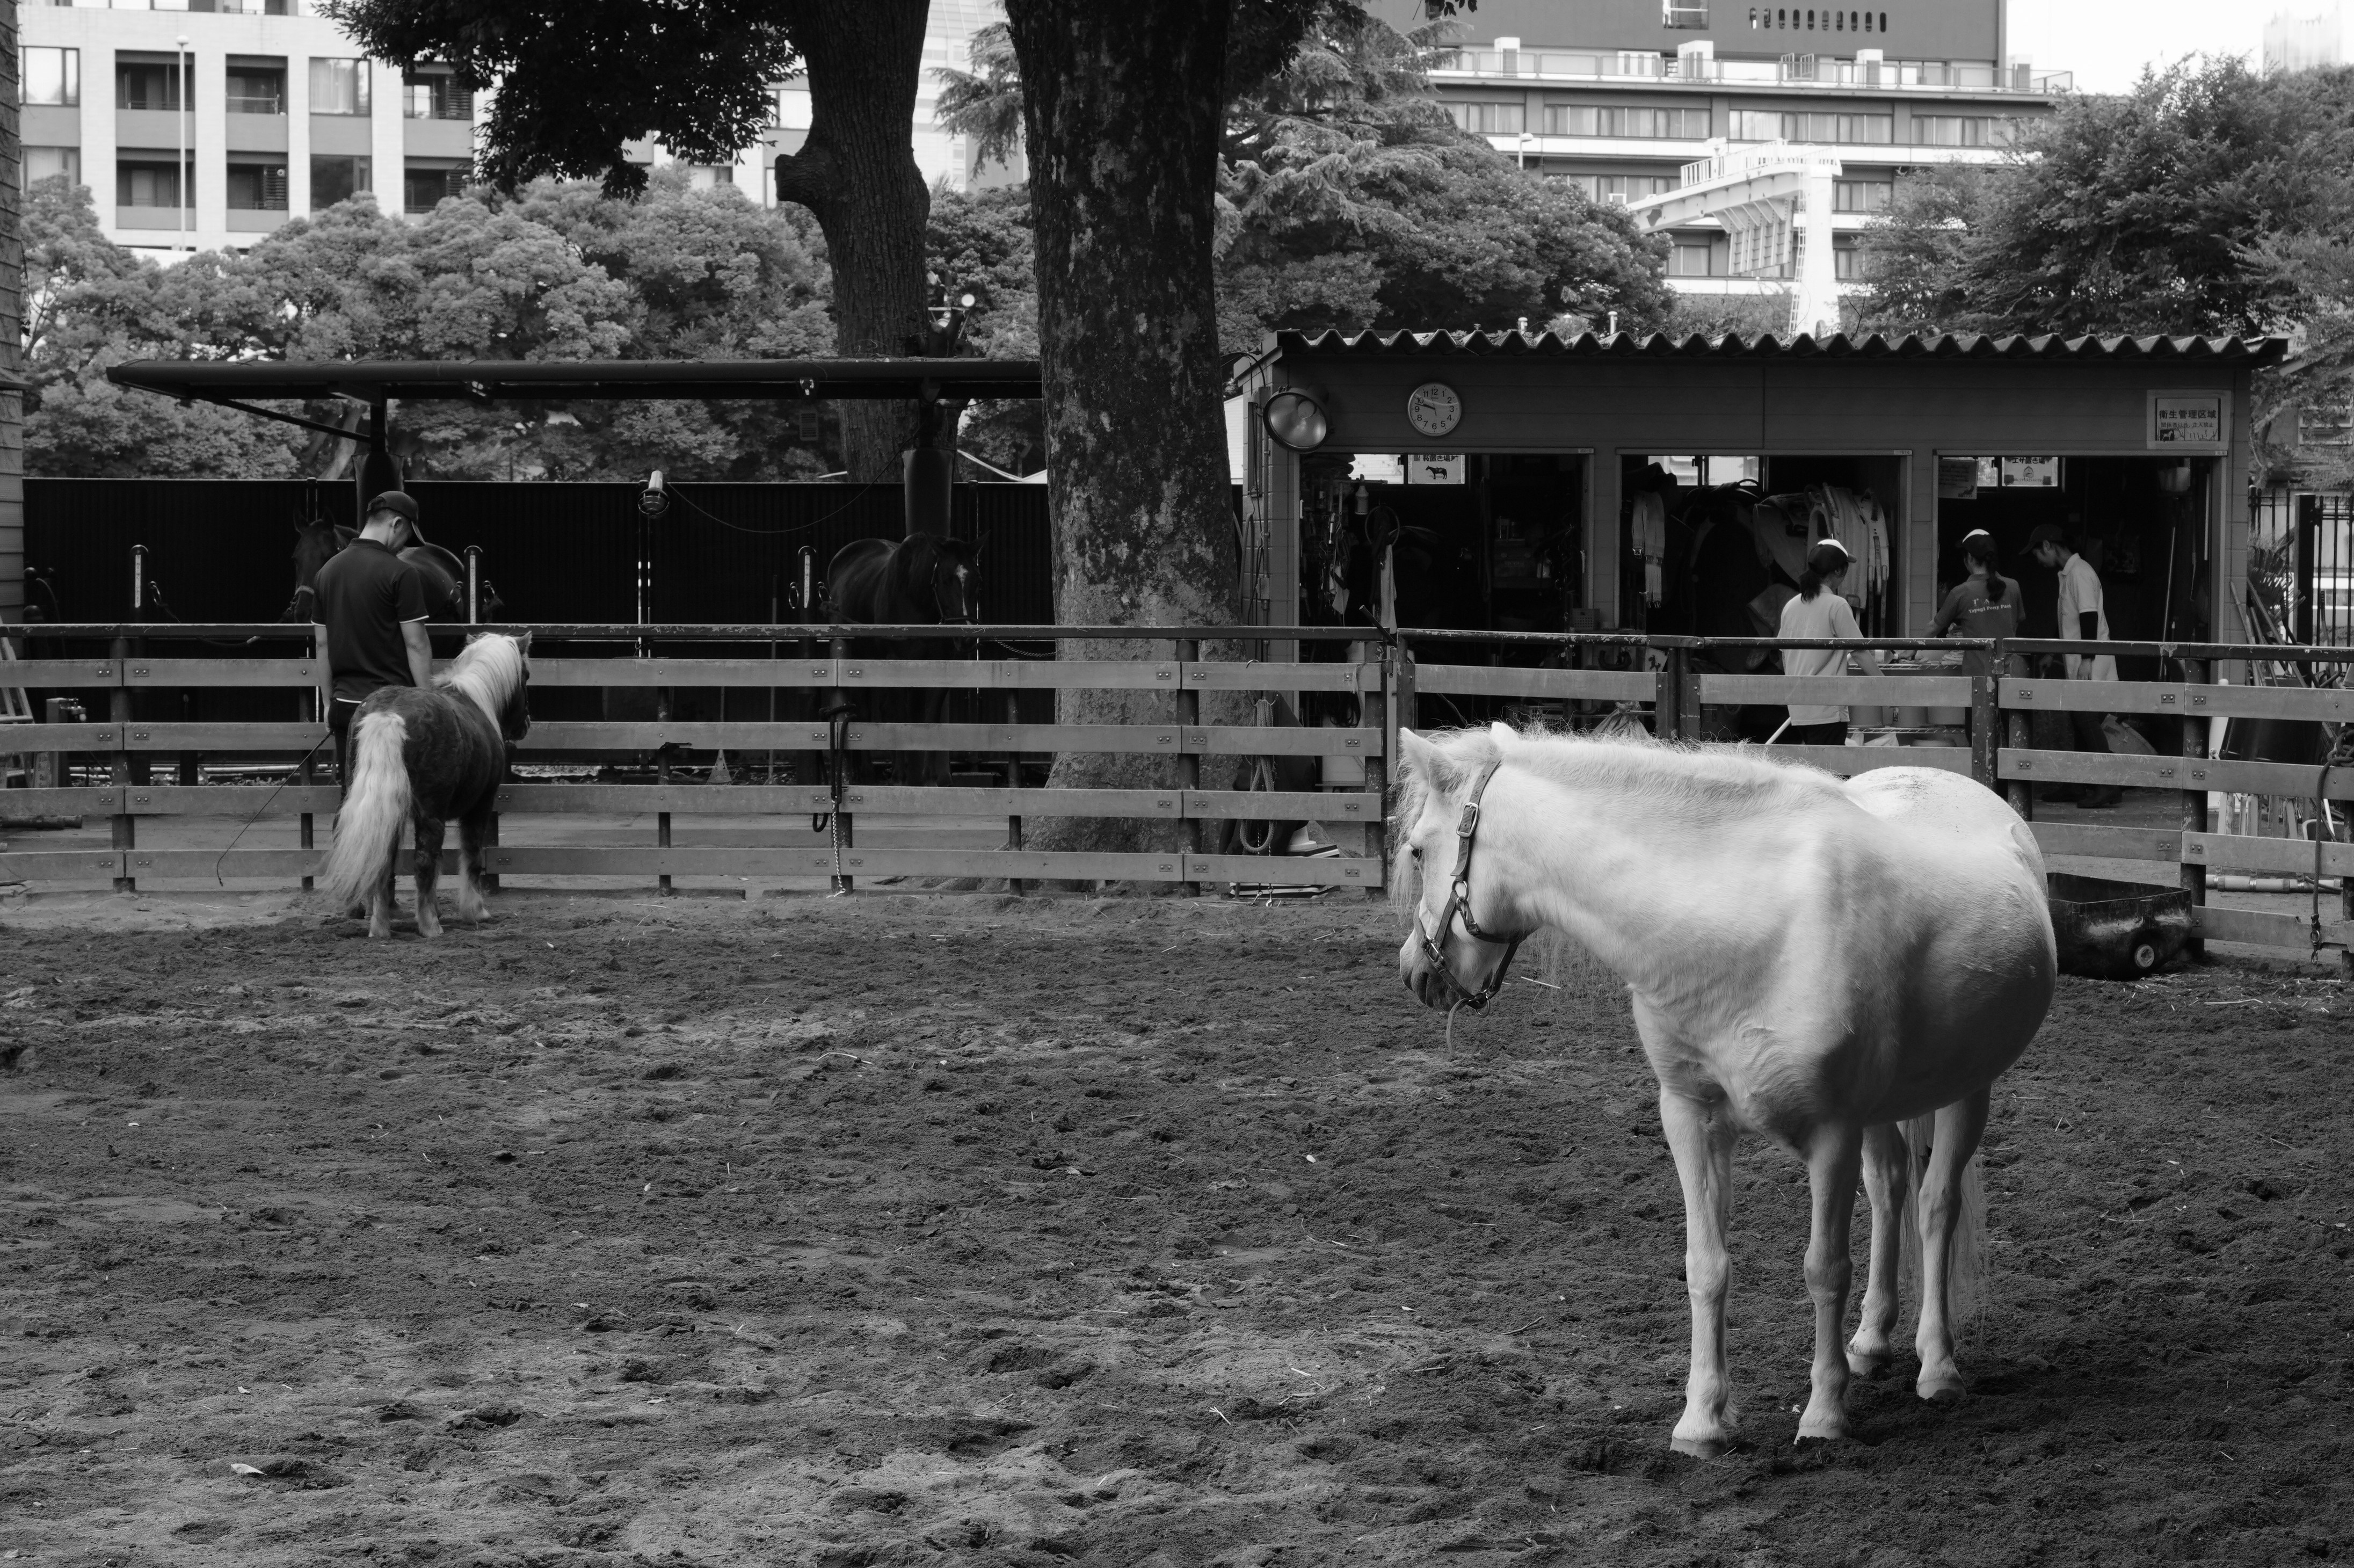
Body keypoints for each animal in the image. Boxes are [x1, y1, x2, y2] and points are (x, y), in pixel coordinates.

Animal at [318, 632, 532, 940]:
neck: (476, 701)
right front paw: (476, 911)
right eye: (526, 675)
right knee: (424, 861)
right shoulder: (480, 807)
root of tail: (389, 713)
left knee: (383, 860)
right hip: (431, 813)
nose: (526, 723)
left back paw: (381, 926)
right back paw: (430, 926)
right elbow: (472, 856)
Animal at [825, 532, 981, 785]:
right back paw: (866, 773)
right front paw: (901, 776)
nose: (966, 638)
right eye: (945, 580)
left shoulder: (938, 667)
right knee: (867, 710)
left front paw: (928, 777)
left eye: (979, 581)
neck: (915, 599)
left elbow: (929, 717)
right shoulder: (896, 662)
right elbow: (901, 716)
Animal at [1392, 723, 2055, 1456]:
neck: (1742, 923)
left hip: (1967, 1091)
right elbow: (1706, 1266)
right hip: (1885, 1108)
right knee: (1889, 1190)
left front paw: (1823, 1414)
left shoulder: (1830, 1132)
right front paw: (1702, 1421)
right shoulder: (1690, 1117)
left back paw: (1936, 1365)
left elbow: (1824, 1268)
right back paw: (1870, 1342)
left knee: (1936, 1207)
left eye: (1419, 848)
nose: (1416, 970)